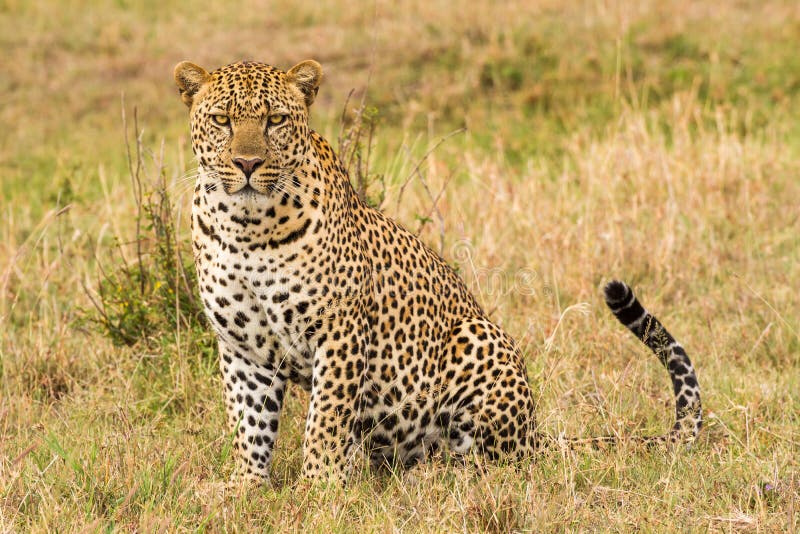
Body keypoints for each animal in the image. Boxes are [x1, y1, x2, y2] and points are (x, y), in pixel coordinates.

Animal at [173, 59, 702, 484]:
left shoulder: (339, 331)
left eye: (275, 120)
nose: (247, 163)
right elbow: (249, 425)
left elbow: (326, 419)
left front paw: (318, 489)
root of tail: (536, 433)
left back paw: (441, 474)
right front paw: (247, 488)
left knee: (496, 461)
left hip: (477, 340)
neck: (248, 227)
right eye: (221, 120)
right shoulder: (242, 347)